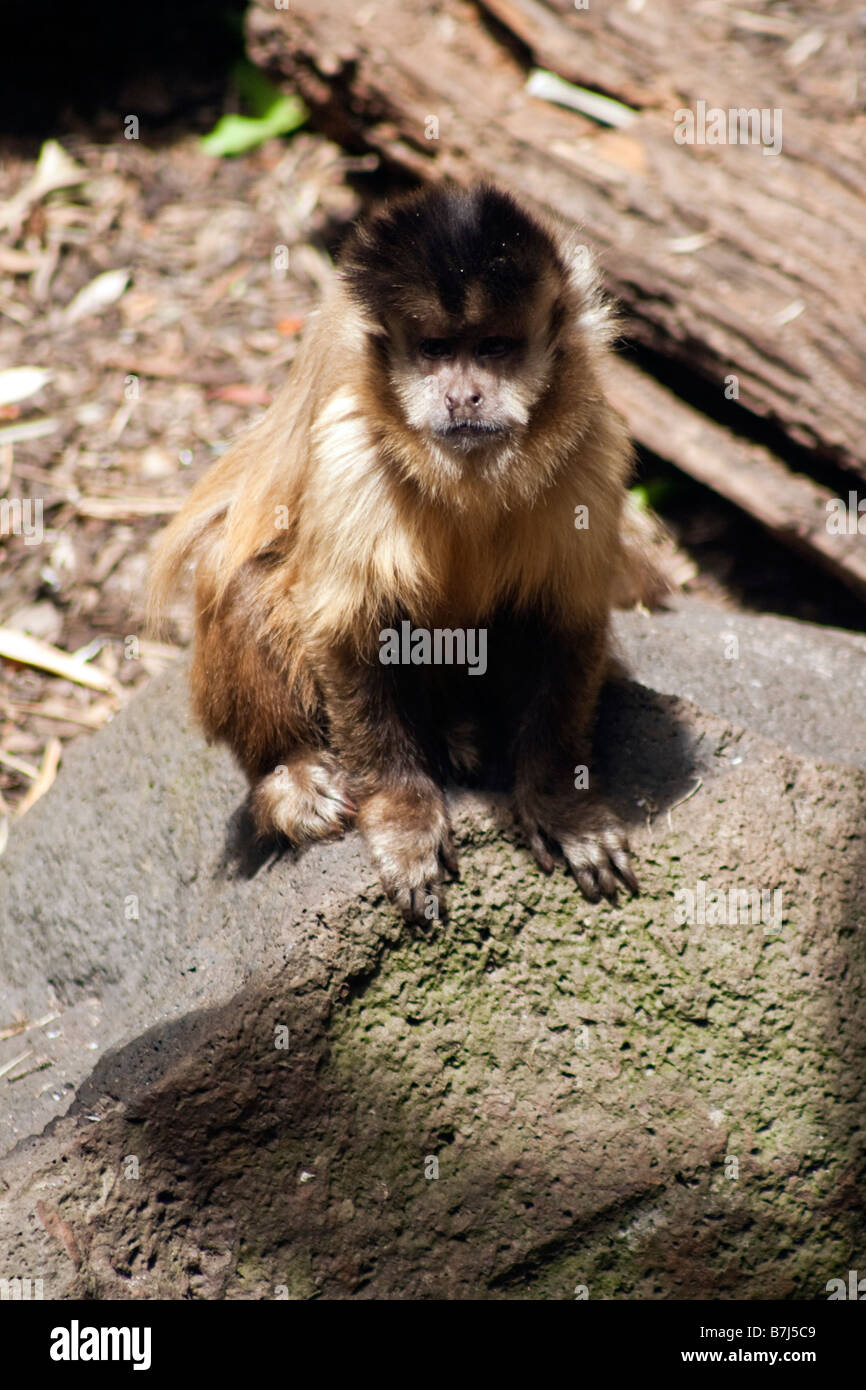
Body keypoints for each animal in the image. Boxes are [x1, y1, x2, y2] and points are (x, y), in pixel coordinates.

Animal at [148, 182, 669, 920]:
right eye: (434, 349)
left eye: (495, 347)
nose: (463, 395)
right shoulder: (352, 450)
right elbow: (349, 631)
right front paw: (402, 820)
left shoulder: (590, 442)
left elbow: (566, 623)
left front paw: (561, 808)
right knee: (242, 576)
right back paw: (290, 773)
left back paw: (463, 732)